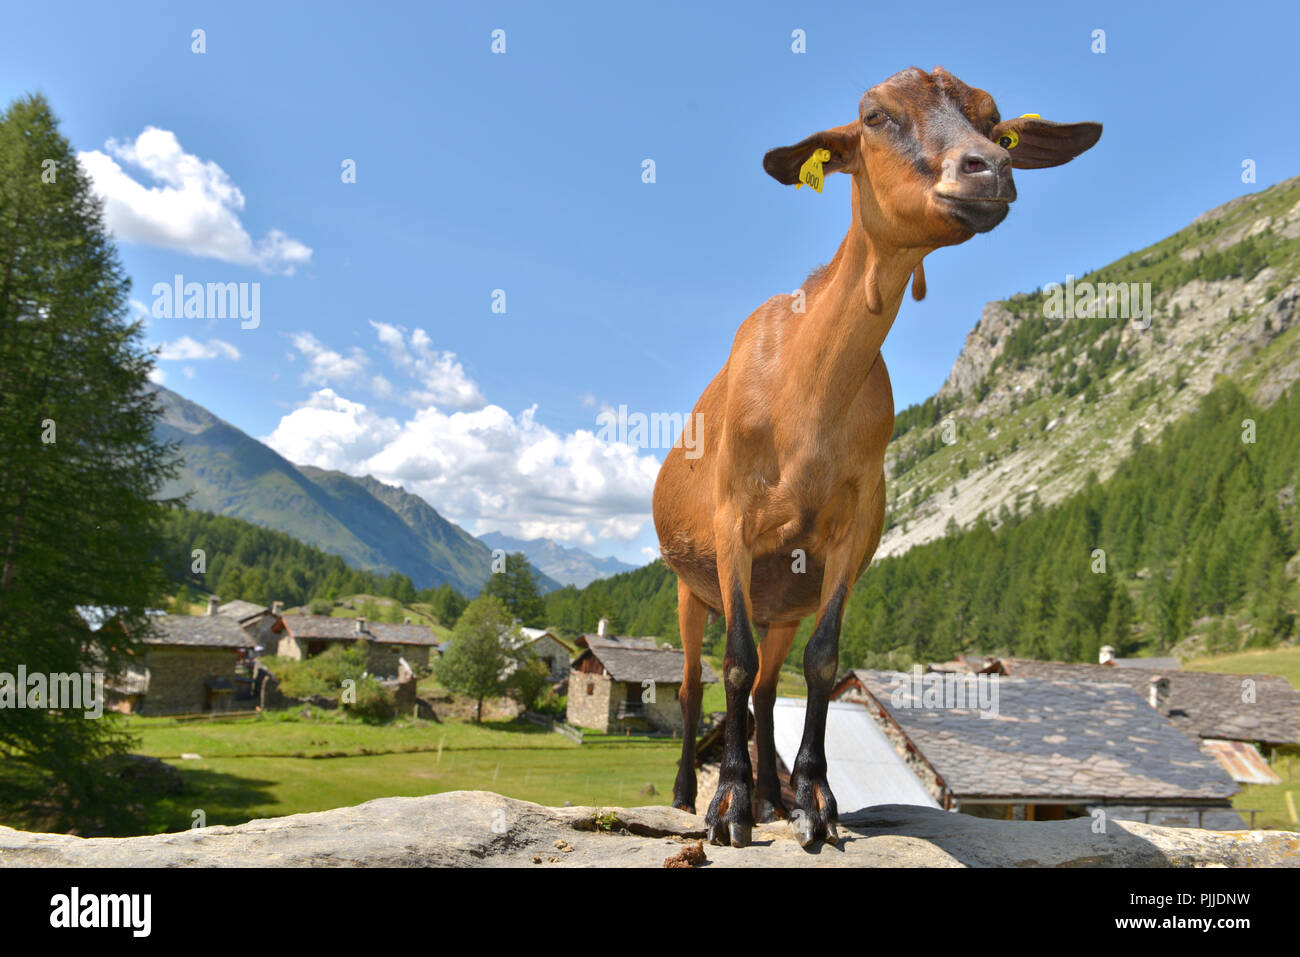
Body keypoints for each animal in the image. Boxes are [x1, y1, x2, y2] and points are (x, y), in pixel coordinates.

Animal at [652, 66, 1100, 848]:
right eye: (875, 116)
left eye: (998, 124)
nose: (990, 168)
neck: (804, 393)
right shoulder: (734, 518)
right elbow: (731, 664)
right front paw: (726, 804)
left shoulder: (849, 531)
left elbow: (822, 663)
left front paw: (812, 801)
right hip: (690, 587)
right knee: (691, 682)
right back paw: (689, 794)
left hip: (780, 601)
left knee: (768, 687)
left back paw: (772, 796)